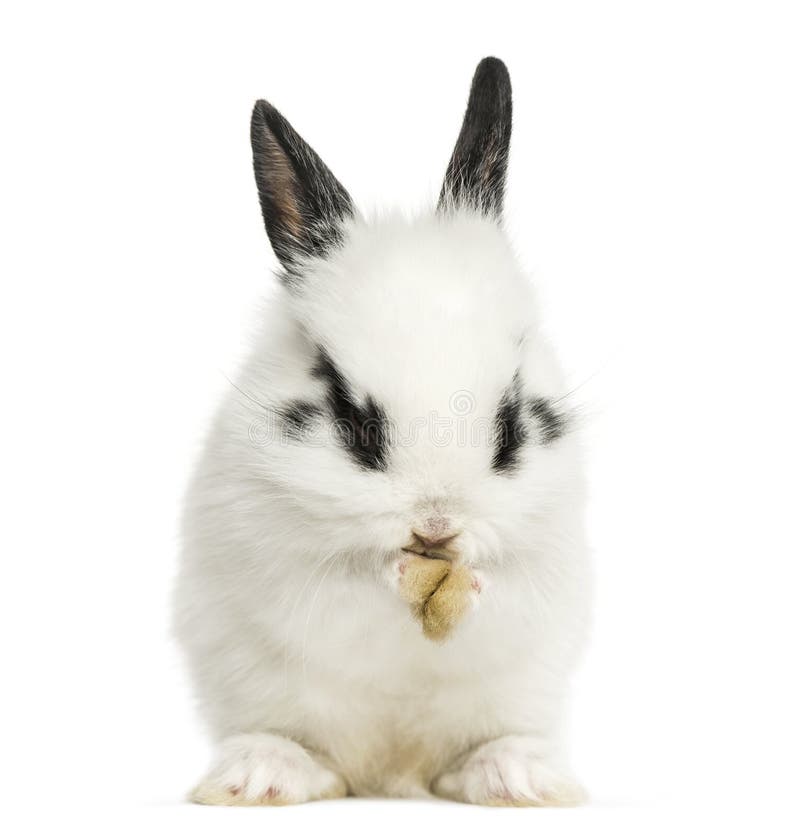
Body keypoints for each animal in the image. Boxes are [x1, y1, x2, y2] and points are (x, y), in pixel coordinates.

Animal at [174, 56, 591, 807]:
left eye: (511, 422)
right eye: (351, 420)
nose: (437, 526)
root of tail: (395, 775)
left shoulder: (548, 565)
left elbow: (506, 593)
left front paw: (470, 579)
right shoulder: (288, 571)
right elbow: (348, 589)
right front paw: (397, 569)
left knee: (466, 758)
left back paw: (517, 776)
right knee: (316, 759)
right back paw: (261, 774)